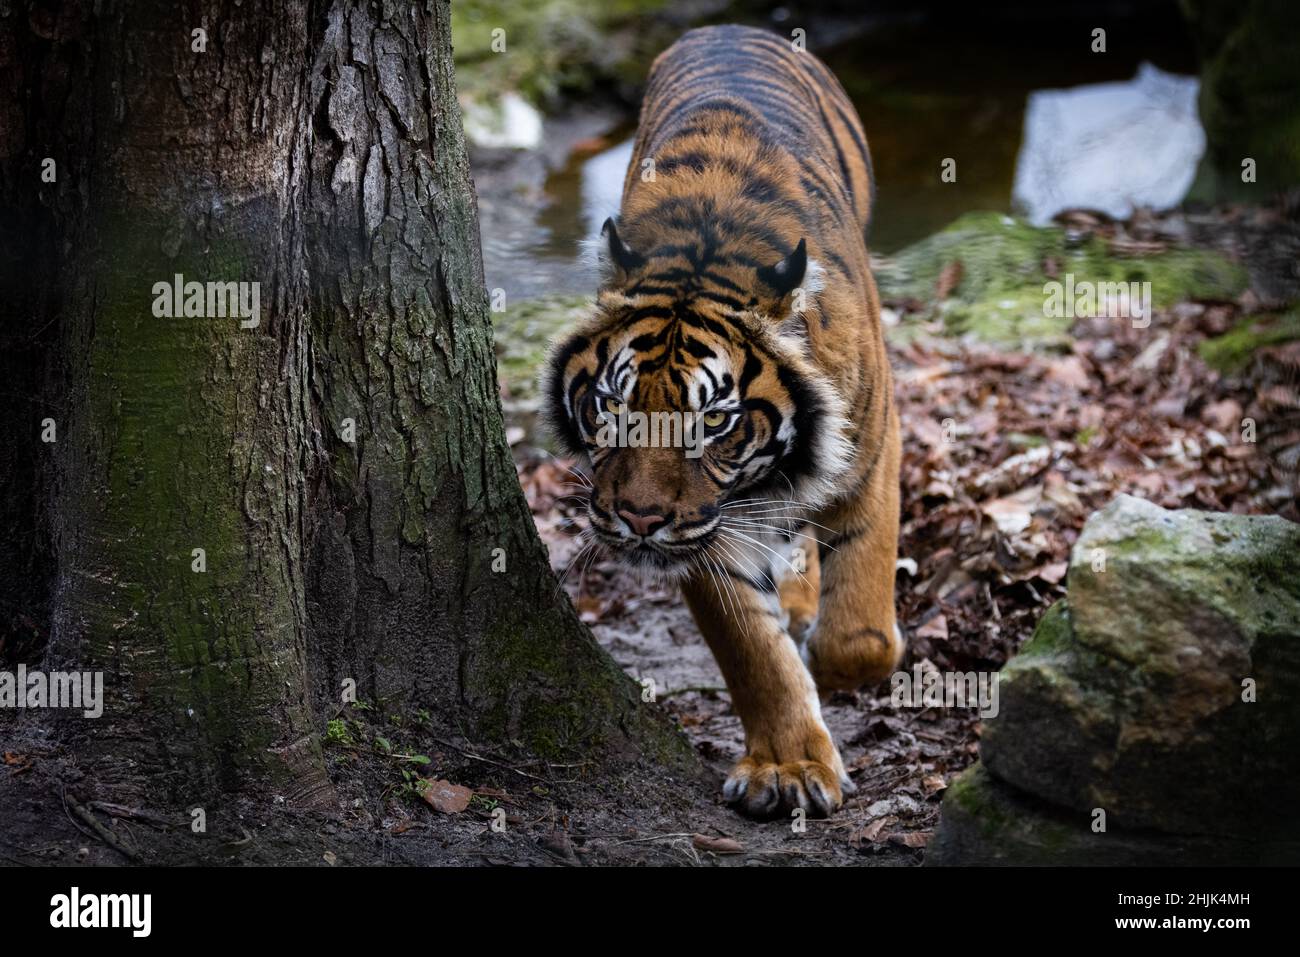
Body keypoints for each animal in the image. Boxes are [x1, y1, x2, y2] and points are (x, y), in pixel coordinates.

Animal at [543, 24, 903, 818]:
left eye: (711, 423)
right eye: (611, 406)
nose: (639, 519)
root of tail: (729, 25)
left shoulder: (873, 449)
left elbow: (858, 637)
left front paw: (831, 663)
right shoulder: (706, 535)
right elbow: (752, 650)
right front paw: (789, 768)